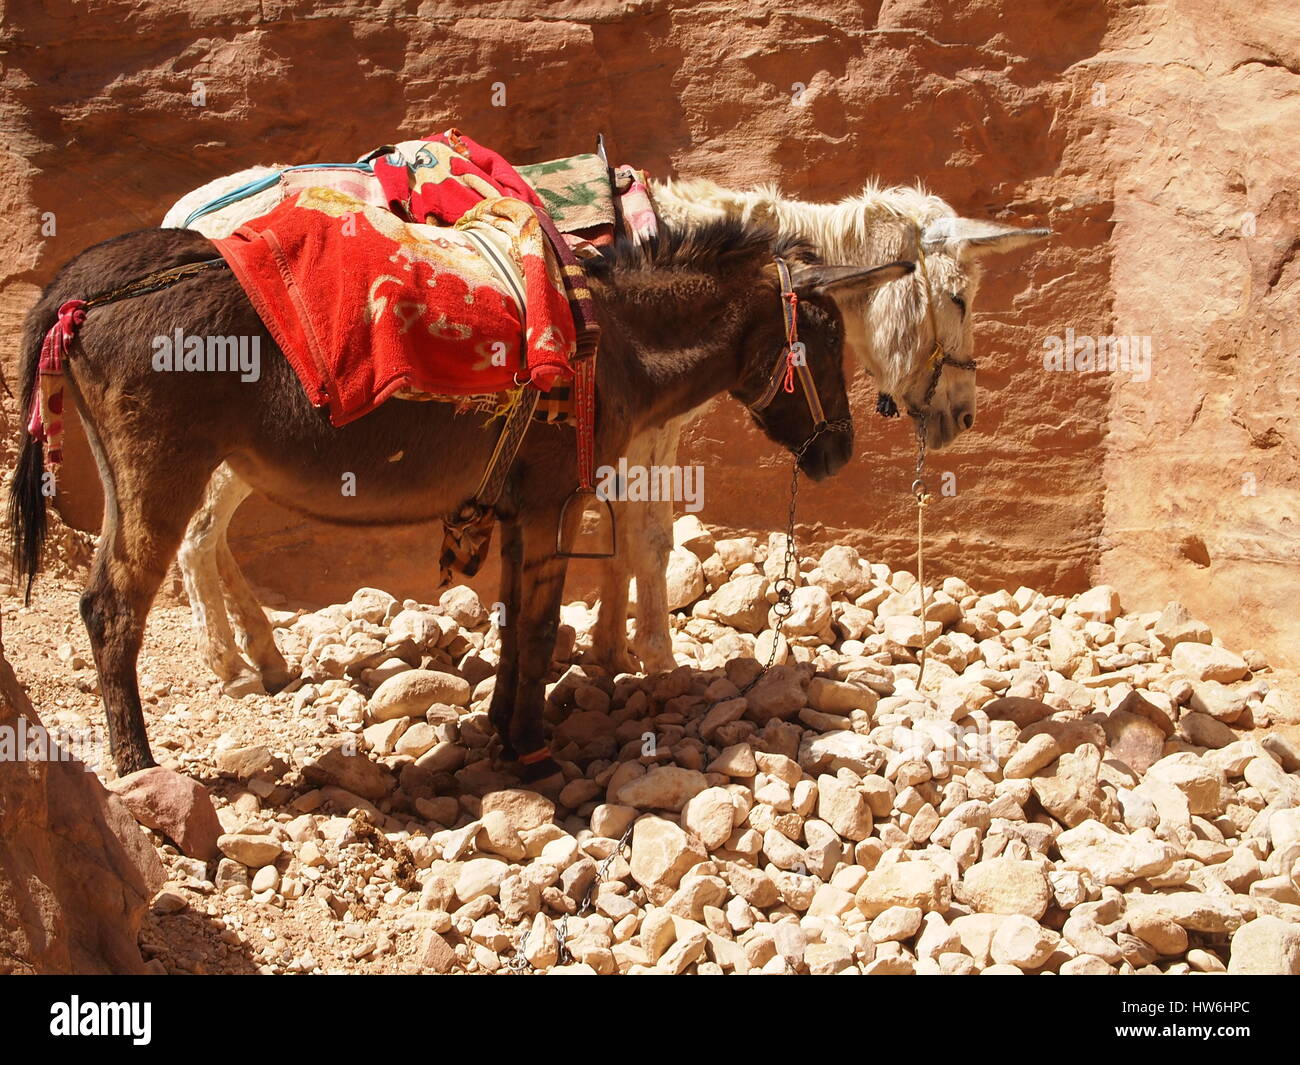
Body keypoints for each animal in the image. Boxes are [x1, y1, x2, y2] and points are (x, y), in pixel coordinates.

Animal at [10, 216, 912, 779]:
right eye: (827, 332)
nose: (840, 451)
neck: (614, 336)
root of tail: (79, 285)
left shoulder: (515, 512)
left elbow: (516, 624)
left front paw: (499, 735)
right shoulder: (552, 503)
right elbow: (542, 628)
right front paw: (533, 749)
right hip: (161, 469)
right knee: (114, 607)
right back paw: (141, 766)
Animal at [160, 166, 1048, 688]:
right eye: (960, 295)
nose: (964, 415)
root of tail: (185, 211)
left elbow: (614, 536)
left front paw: (610, 649)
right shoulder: (648, 430)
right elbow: (648, 538)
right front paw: (657, 661)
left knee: (205, 532)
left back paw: (264, 651)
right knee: (196, 533)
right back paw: (231, 663)